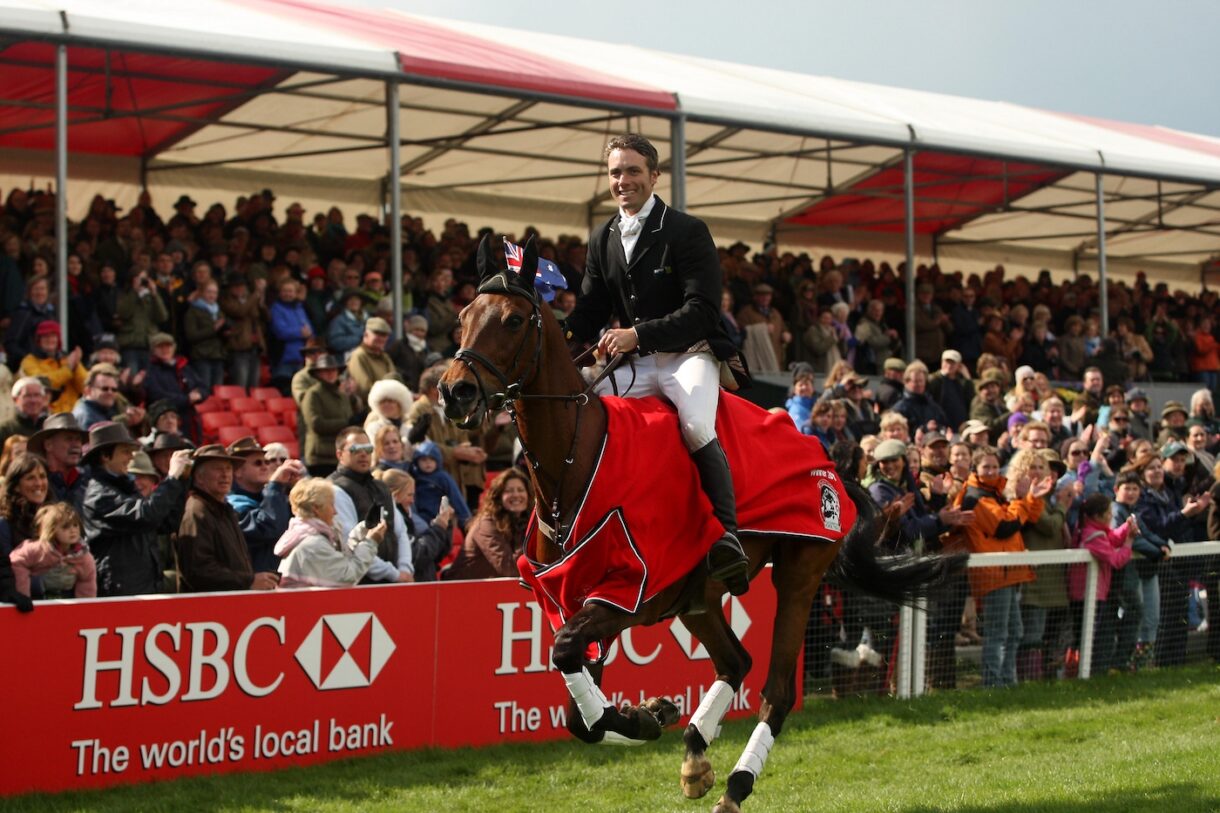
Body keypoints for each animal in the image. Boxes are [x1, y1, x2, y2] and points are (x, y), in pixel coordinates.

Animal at [438, 237, 963, 813]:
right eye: (462, 318)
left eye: (512, 319)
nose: (455, 392)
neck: (574, 467)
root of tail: (825, 456)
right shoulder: (575, 600)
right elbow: (580, 715)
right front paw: (651, 714)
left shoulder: (622, 594)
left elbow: (572, 672)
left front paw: (648, 714)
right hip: (699, 598)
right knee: (735, 662)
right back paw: (694, 750)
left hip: (798, 576)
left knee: (776, 691)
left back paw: (734, 785)